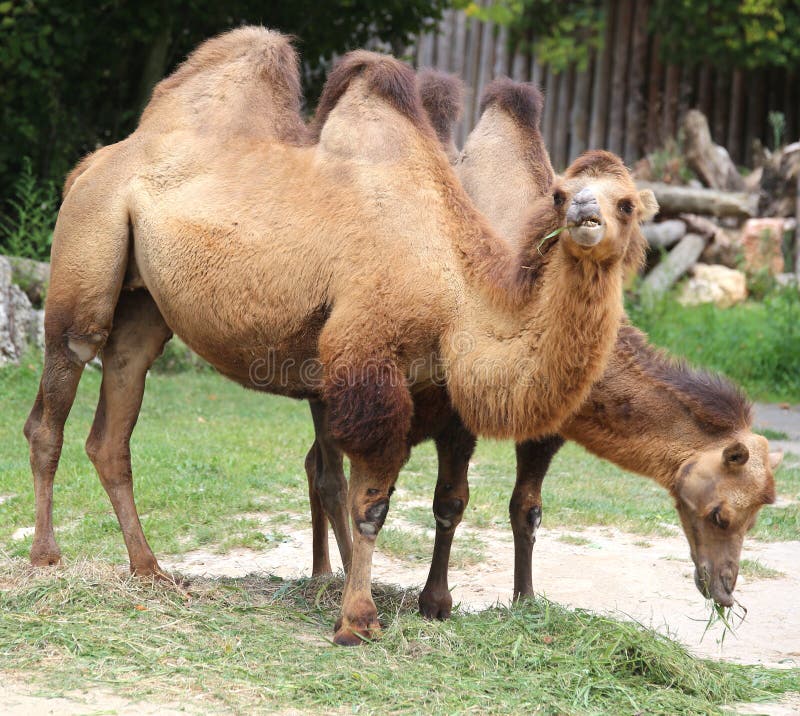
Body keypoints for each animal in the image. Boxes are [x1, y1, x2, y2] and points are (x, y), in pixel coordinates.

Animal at [25, 28, 655, 645]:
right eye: (563, 193)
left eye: (626, 202)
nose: (583, 214)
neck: (455, 288)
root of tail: (91, 164)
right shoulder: (366, 357)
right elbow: (369, 504)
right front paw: (358, 619)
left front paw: (362, 600)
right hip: (89, 240)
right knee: (60, 385)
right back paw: (46, 559)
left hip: (145, 302)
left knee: (116, 414)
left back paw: (149, 570)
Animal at [305, 73, 781, 619]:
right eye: (723, 514)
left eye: (756, 516)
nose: (724, 589)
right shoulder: (458, 408)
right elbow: (450, 501)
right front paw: (436, 601)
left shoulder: (548, 425)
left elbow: (527, 508)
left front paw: (526, 599)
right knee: (328, 468)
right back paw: (327, 575)